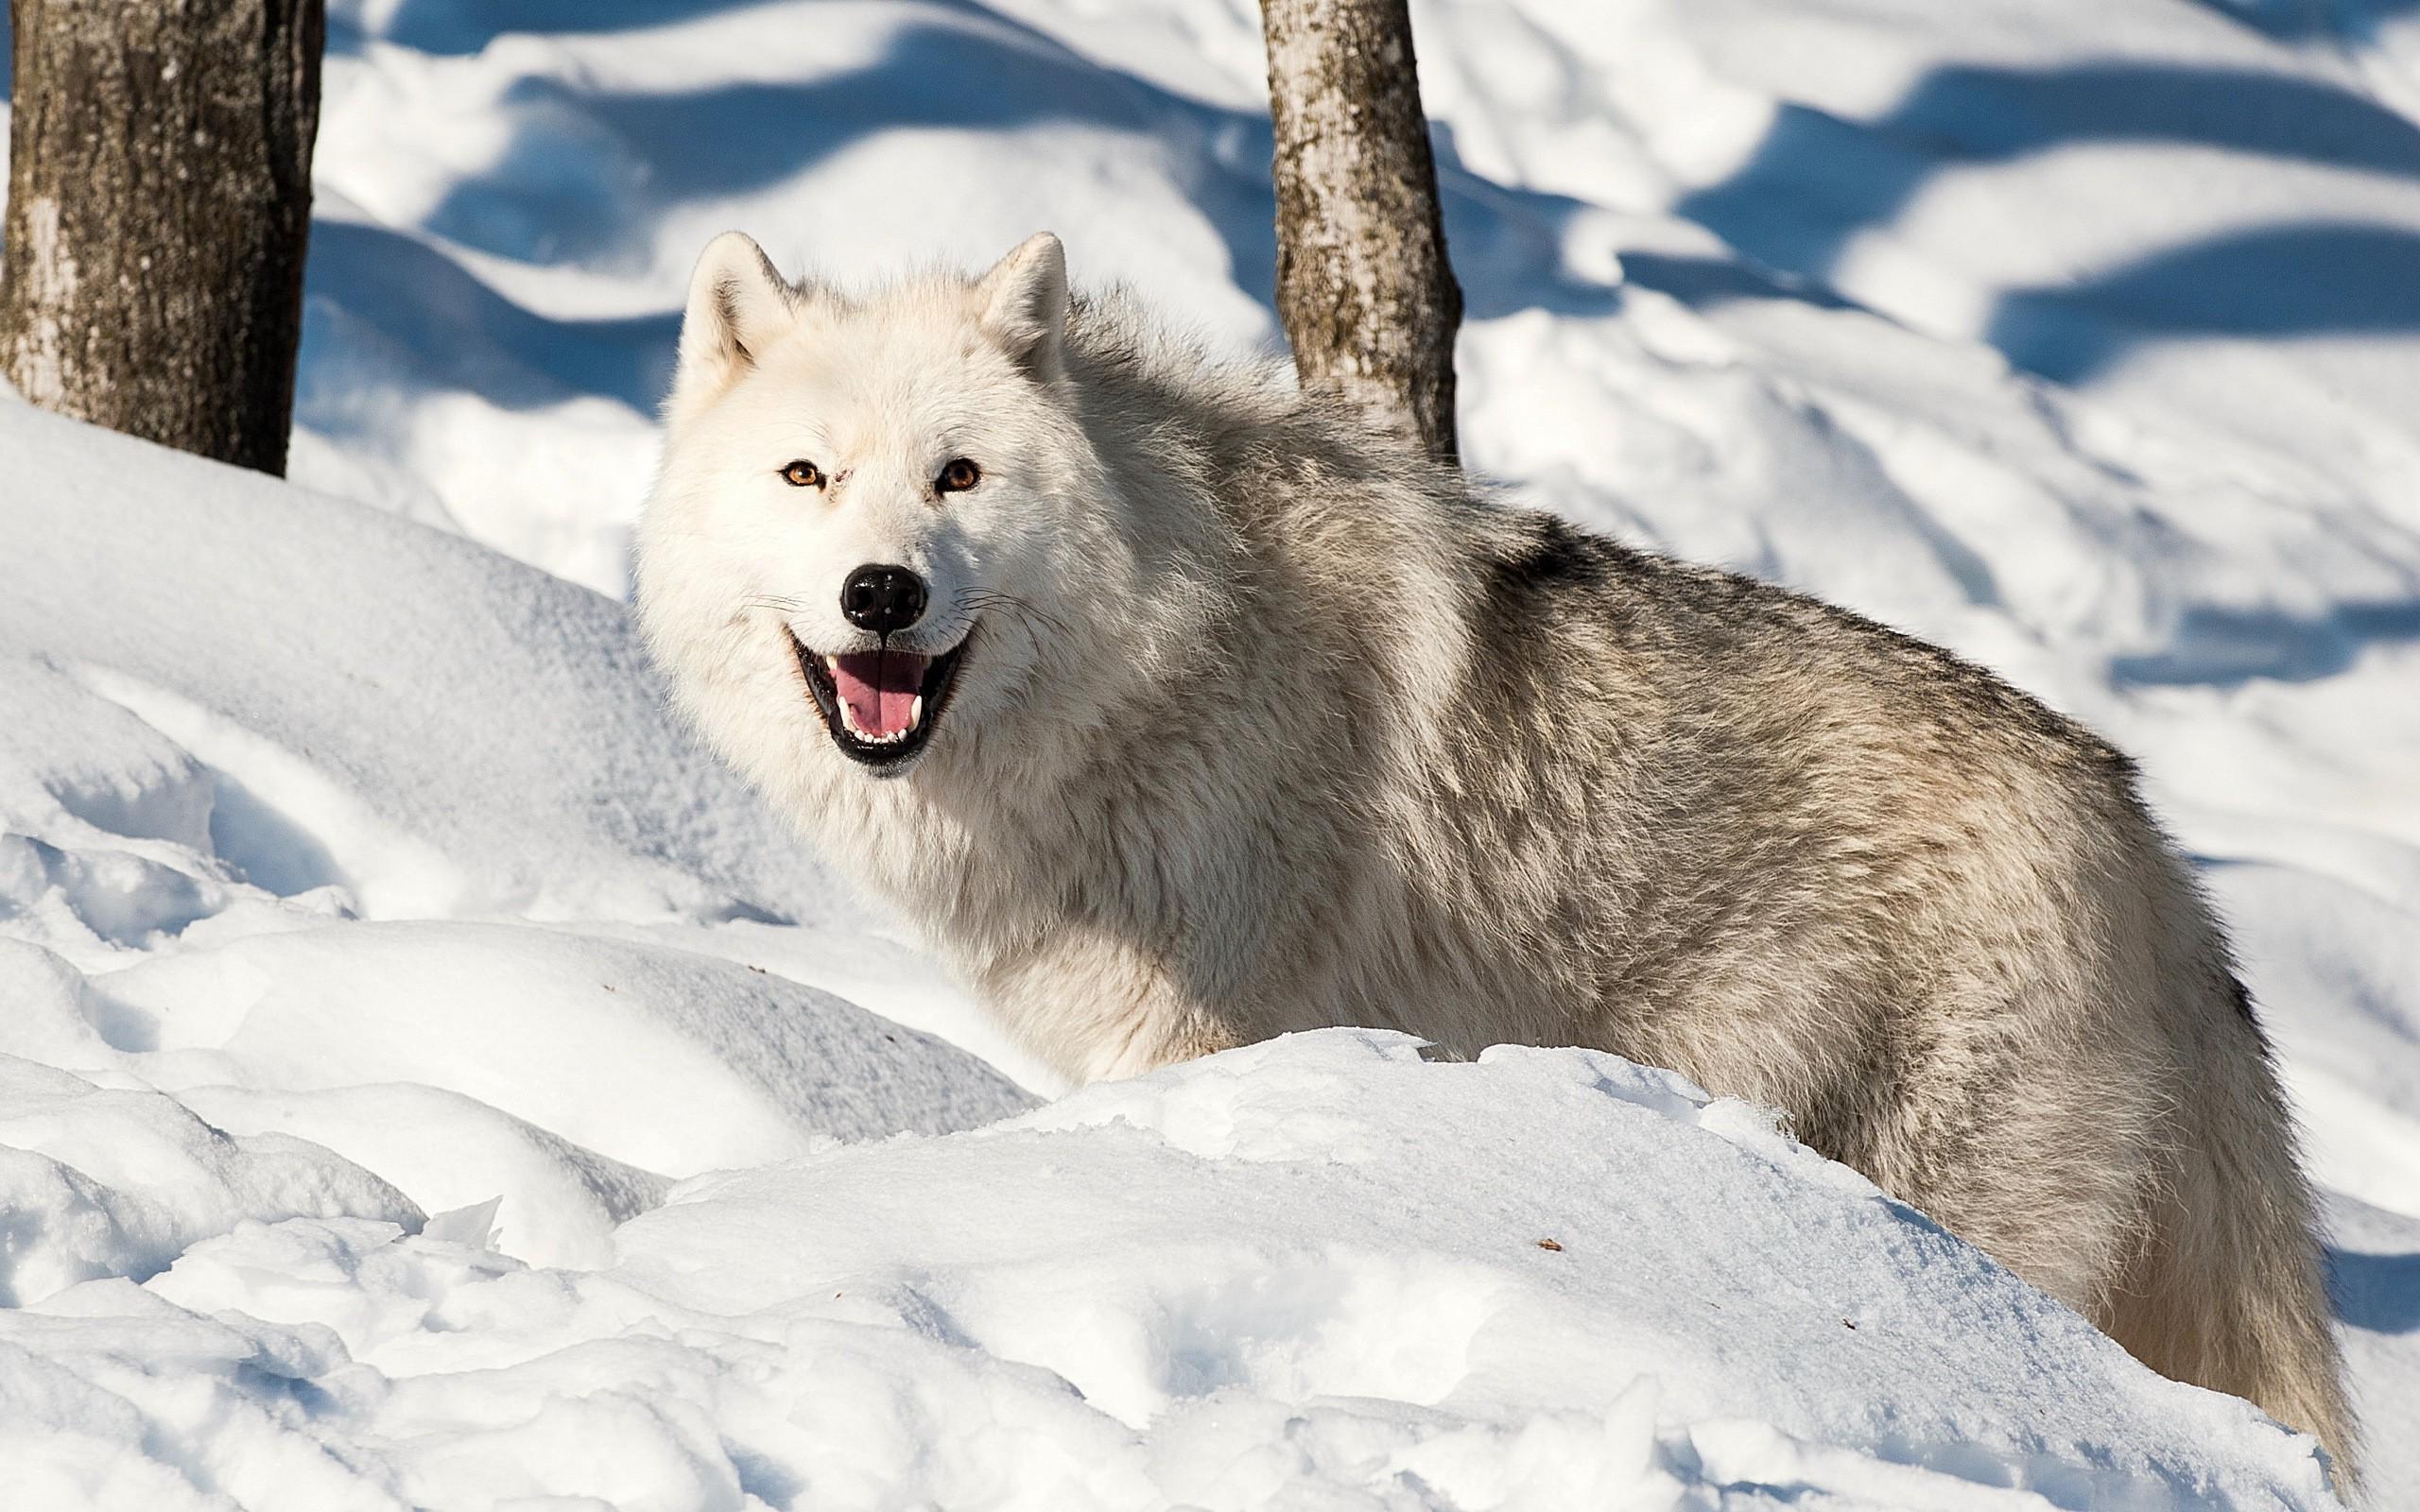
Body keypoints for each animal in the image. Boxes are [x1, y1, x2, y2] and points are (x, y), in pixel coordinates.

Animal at [636, 230, 2357, 1484]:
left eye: (959, 477)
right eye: (806, 477)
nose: (881, 593)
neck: (1162, 658)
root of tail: (2147, 834)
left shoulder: (1195, 1048)